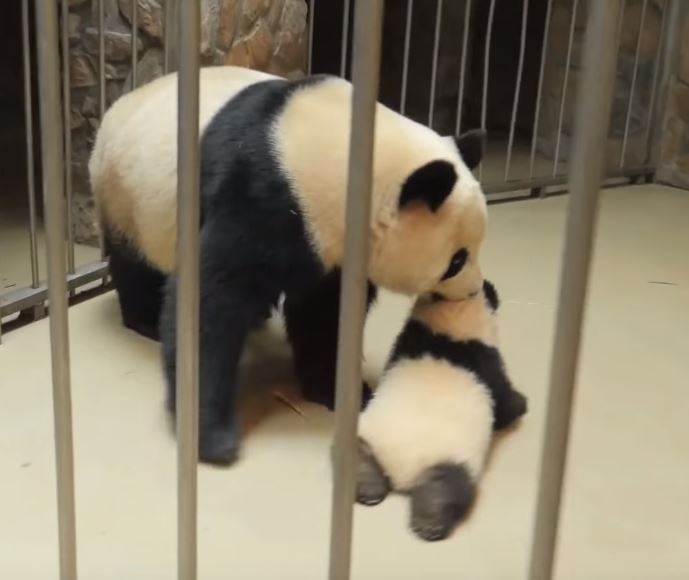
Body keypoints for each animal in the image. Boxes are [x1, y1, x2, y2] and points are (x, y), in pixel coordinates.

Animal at [89, 66, 489, 465]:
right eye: (456, 260)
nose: (473, 290)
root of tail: (115, 109)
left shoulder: (328, 246)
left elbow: (323, 315)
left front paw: (338, 391)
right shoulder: (266, 196)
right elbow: (212, 299)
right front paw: (211, 439)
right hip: (127, 195)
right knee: (136, 265)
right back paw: (145, 319)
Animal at [356, 280, 527, 542]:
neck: (450, 330)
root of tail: (401, 472)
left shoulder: (410, 340)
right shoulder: (488, 363)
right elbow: (504, 402)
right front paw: (521, 403)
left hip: (366, 436)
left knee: (357, 455)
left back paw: (367, 487)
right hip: (450, 459)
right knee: (447, 486)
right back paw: (430, 523)